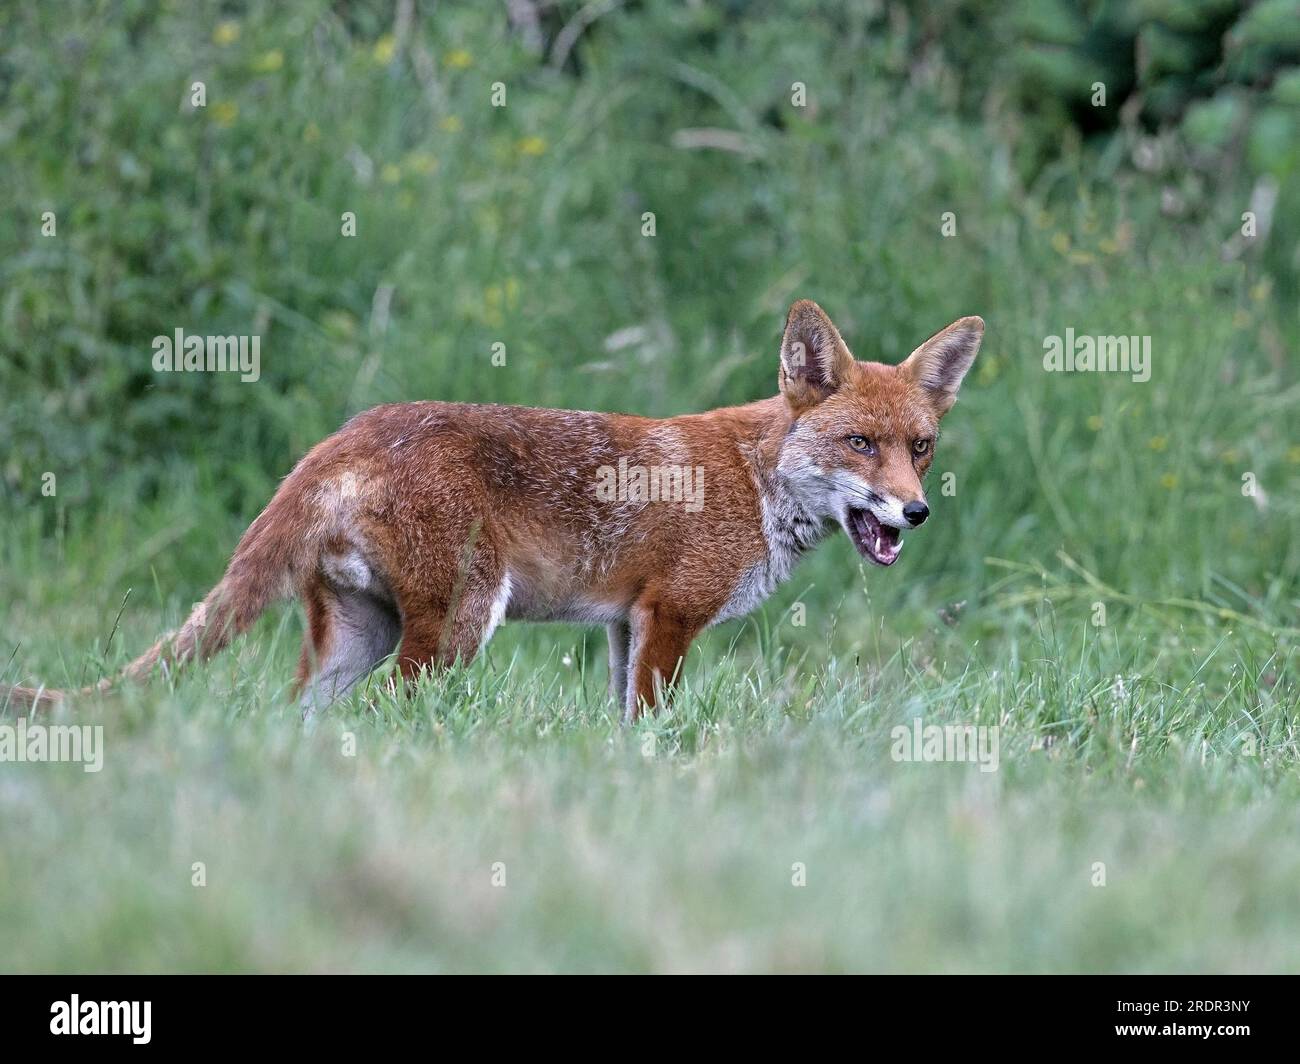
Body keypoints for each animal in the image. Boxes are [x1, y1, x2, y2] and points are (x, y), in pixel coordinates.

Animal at [2, 300, 983, 722]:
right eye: (860, 444)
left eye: (921, 447)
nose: (914, 512)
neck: (754, 479)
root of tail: (343, 435)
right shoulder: (670, 616)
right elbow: (657, 726)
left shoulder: (626, 622)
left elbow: (623, 725)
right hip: (460, 625)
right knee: (384, 717)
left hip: (358, 639)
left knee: (293, 717)